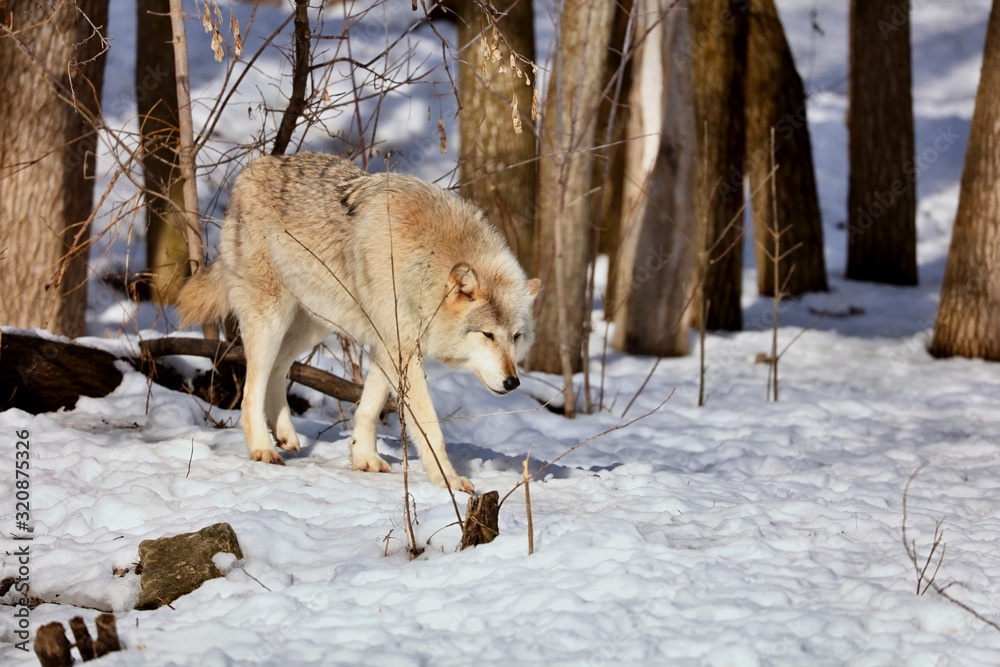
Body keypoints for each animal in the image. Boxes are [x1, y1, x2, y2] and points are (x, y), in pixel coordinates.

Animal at [177, 153, 541, 493]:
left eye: (515, 337)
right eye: (488, 335)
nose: (513, 382)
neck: (425, 260)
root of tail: (248, 172)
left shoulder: (390, 346)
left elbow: (368, 409)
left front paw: (364, 458)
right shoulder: (403, 350)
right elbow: (430, 428)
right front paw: (448, 480)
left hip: (313, 325)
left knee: (279, 370)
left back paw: (286, 435)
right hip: (272, 321)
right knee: (252, 389)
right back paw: (263, 450)